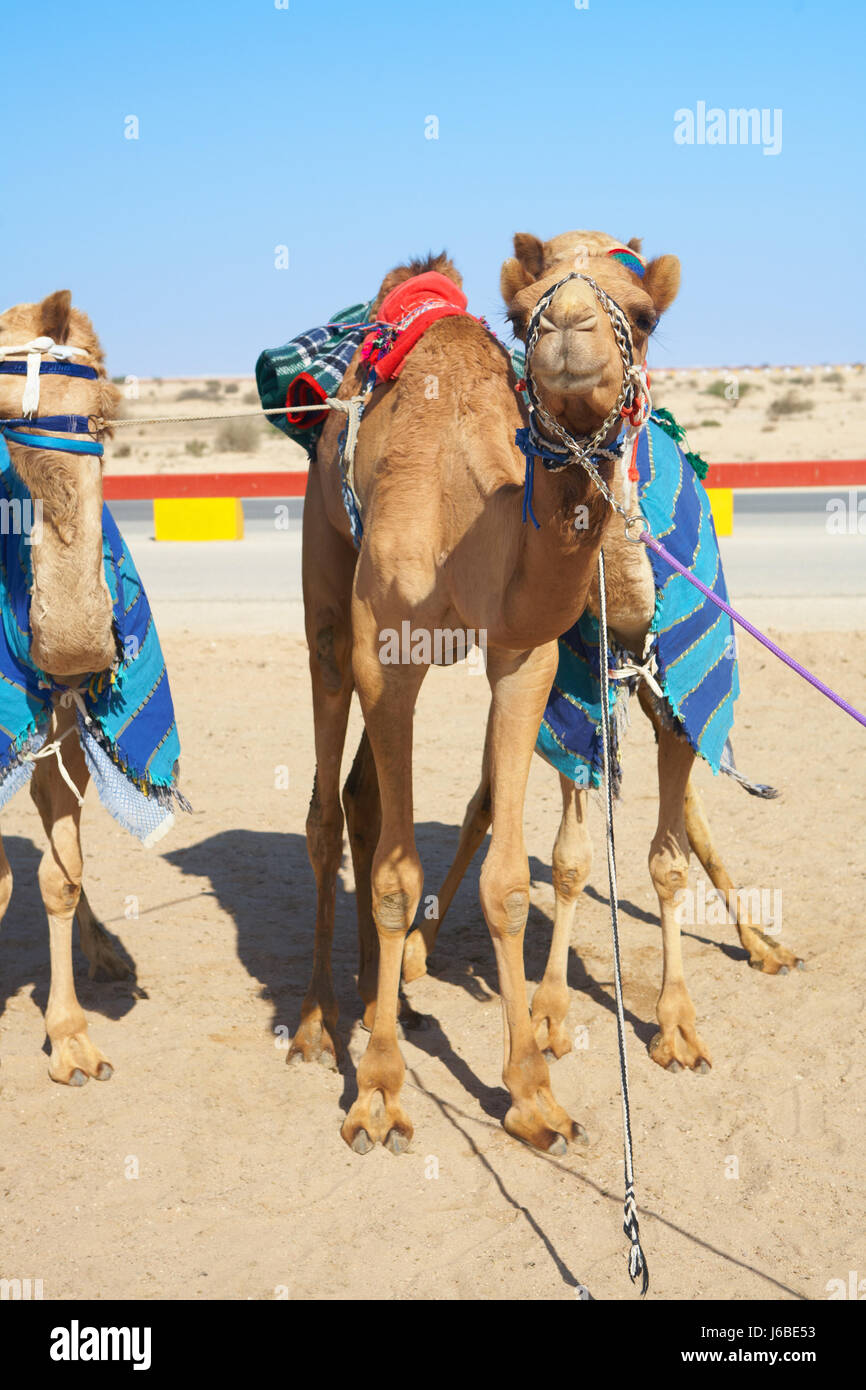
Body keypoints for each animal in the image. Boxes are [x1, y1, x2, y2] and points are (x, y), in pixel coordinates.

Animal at [291, 234, 685, 1154]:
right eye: (523, 310)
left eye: (645, 314)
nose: (571, 329)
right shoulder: (385, 651)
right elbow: (397, 878)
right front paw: (379, 1094)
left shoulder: (521, 655)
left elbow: (507, 883)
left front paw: (534, 1097)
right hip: (326, 582)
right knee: (326, 803)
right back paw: (318, 1023)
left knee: (360, 796)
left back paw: (381, 994)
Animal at [401, 232, 803, 1073]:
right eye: (520, 315)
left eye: (645, 315)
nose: (569, 327)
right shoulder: (576, 690)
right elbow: (570, 857)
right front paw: (551, 1013)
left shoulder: (678, 693)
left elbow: (668, 856)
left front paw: (677, 1023)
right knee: (486, 801)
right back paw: (418, 947)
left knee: (690, 818)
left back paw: (762, 943)